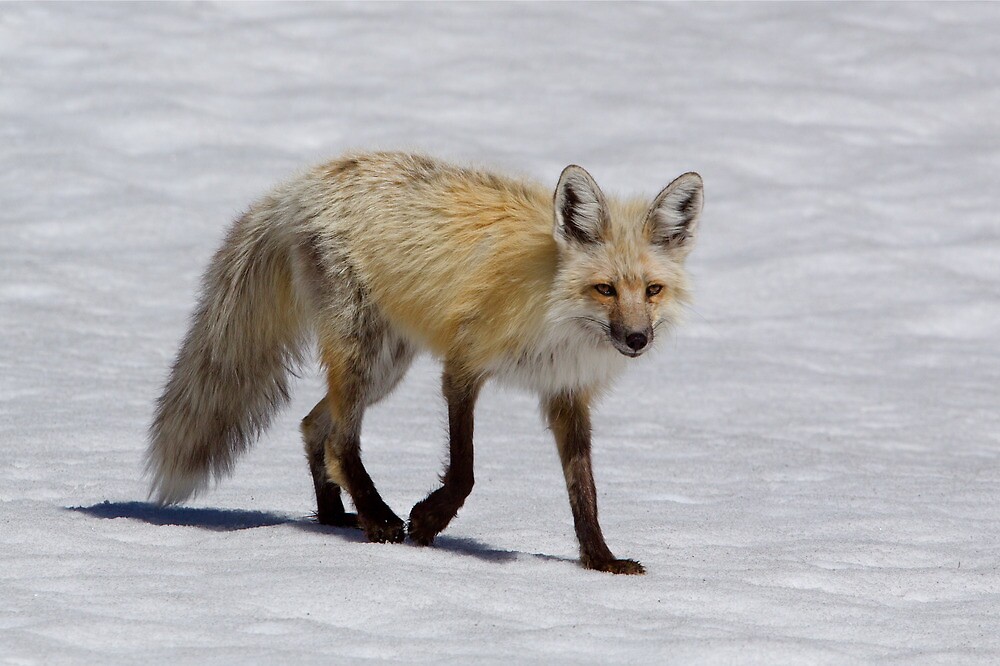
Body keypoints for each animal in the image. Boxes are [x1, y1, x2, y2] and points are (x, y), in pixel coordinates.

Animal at [147, 151, 703, 575]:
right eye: (604, 289)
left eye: (652, 290)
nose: (637, 339)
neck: (556, 315)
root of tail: (305, 181)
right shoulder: (462, 365)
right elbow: (464, 471)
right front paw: (429, 521)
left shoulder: (566, 393)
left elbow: (583, 490)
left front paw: (600, 561)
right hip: (362, 353)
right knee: (340, 443)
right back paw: (379, 519)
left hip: (384, 369)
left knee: (312, 426)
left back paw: (334, 518)